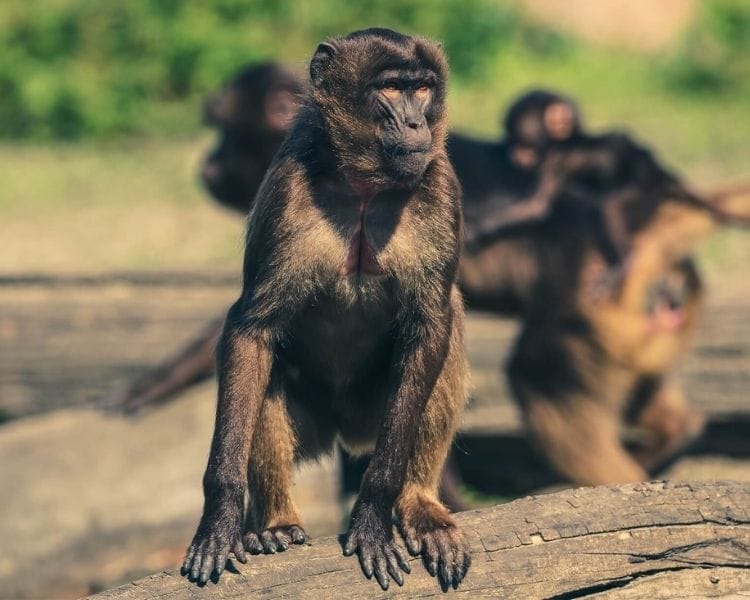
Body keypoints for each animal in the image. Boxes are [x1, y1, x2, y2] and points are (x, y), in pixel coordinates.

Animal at [181, 29, 471, 591]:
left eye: (423, 88)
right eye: (391, 88)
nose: (416, 124)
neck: (365, 186)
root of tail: (345, 431)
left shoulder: (442, 186)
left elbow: (431, 327)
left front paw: (374, 513)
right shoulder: (285, 189)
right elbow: (251, 331)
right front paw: (221, 518)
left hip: (372, 413)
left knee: (447, 329)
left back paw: (420, 505)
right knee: (264, 368)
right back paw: (276, 523)